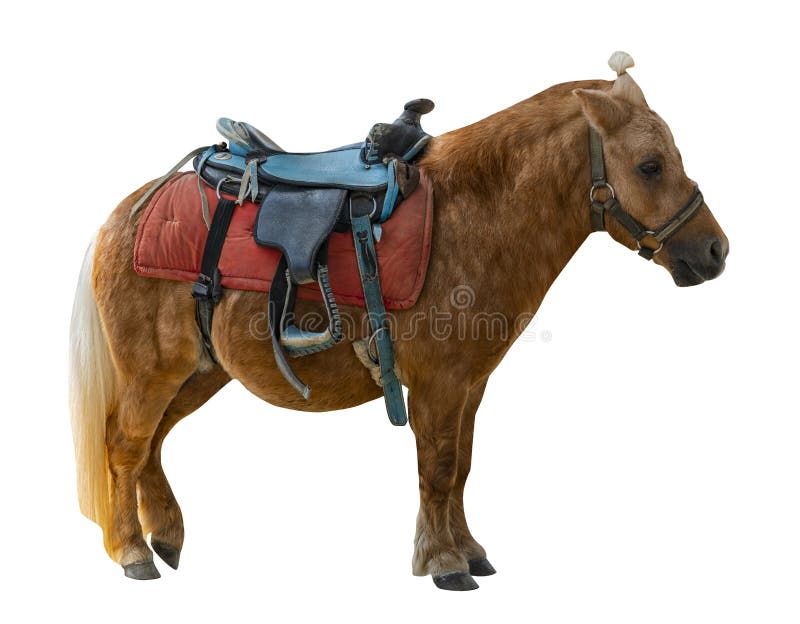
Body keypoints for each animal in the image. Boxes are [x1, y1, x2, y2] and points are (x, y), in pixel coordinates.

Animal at [69, 52, 728, 591]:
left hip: (200, 372)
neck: (474, 217)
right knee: (125, 446)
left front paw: (469, 550)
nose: (715, 251)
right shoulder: (437, 384)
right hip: (154, 372)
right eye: (649, 166)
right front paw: (444, 564)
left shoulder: (468, 387)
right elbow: (437, 470)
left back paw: (166, 537)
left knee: (153, 443)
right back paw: (133, 553)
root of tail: (128, 212)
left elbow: (461, 468)